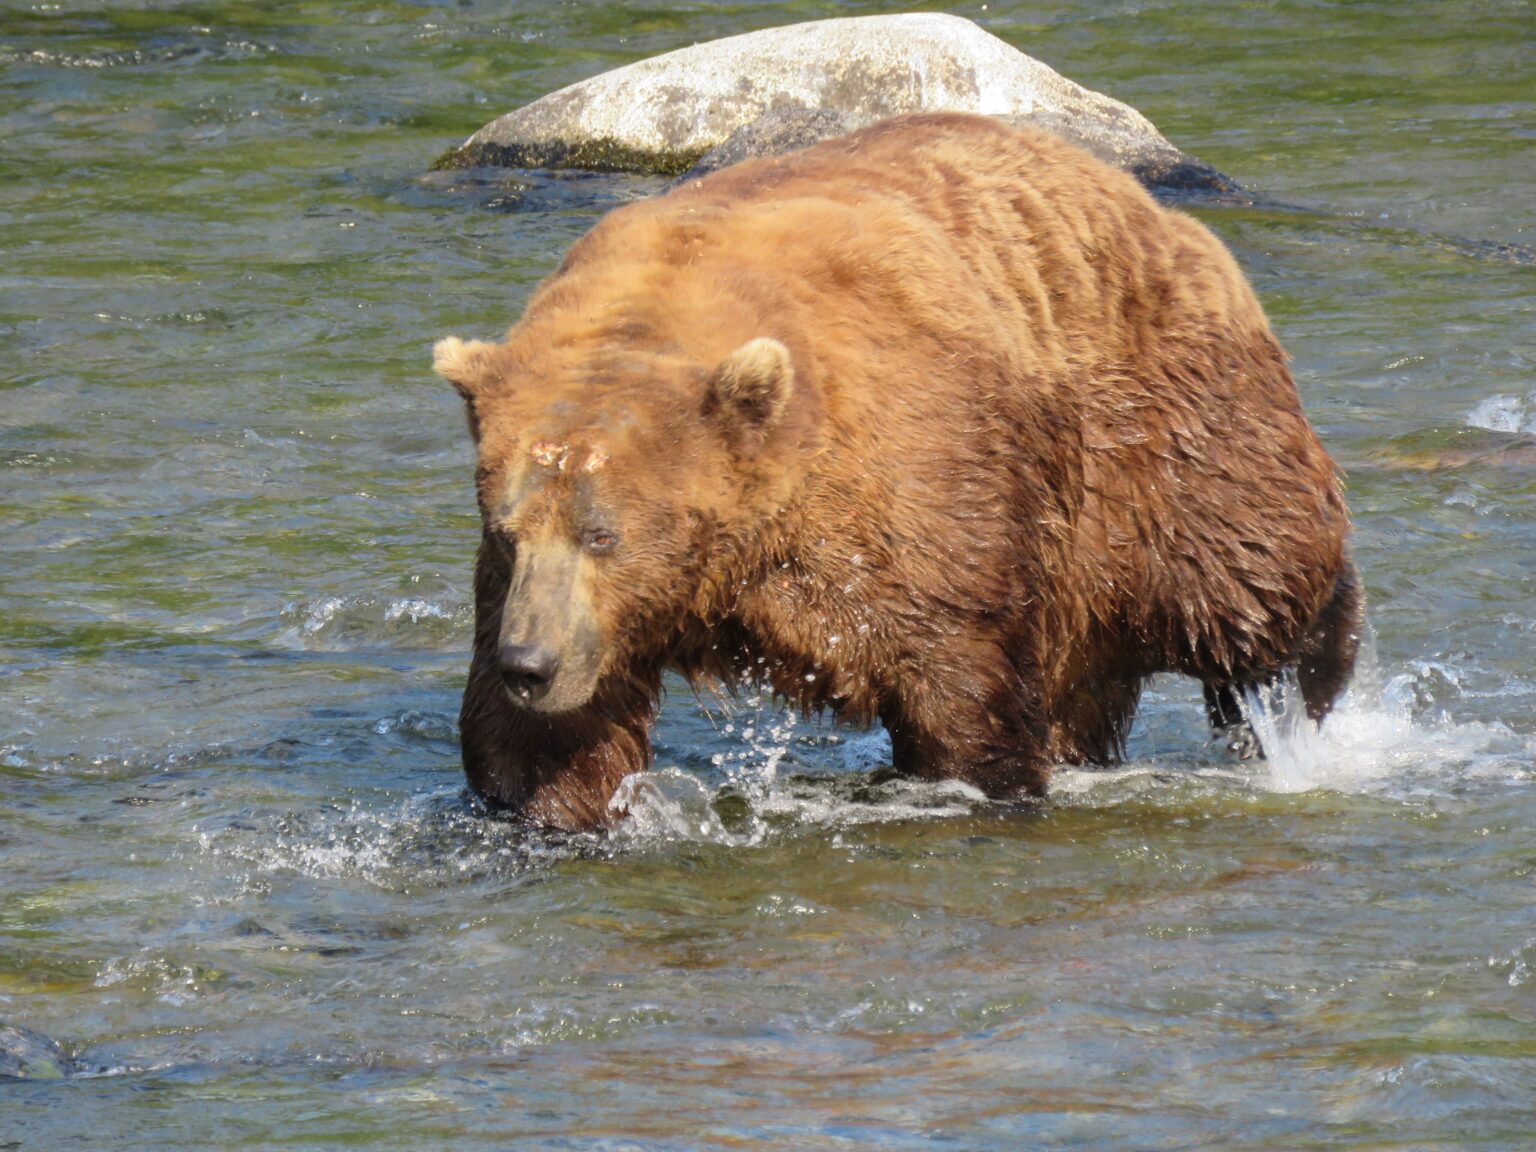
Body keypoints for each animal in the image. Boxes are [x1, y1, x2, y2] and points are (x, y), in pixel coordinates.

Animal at [433, 112, 1360, 831]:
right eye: (508, 531)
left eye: (603, 534)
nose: (529, 664)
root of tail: (1157, 208)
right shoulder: (586, 609)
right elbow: (550, 739)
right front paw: (548, 805)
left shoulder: (920, 476)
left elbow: (955, 671)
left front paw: (977, 780)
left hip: (1155, 431)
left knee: (1245, 578)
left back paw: (1307, 687)